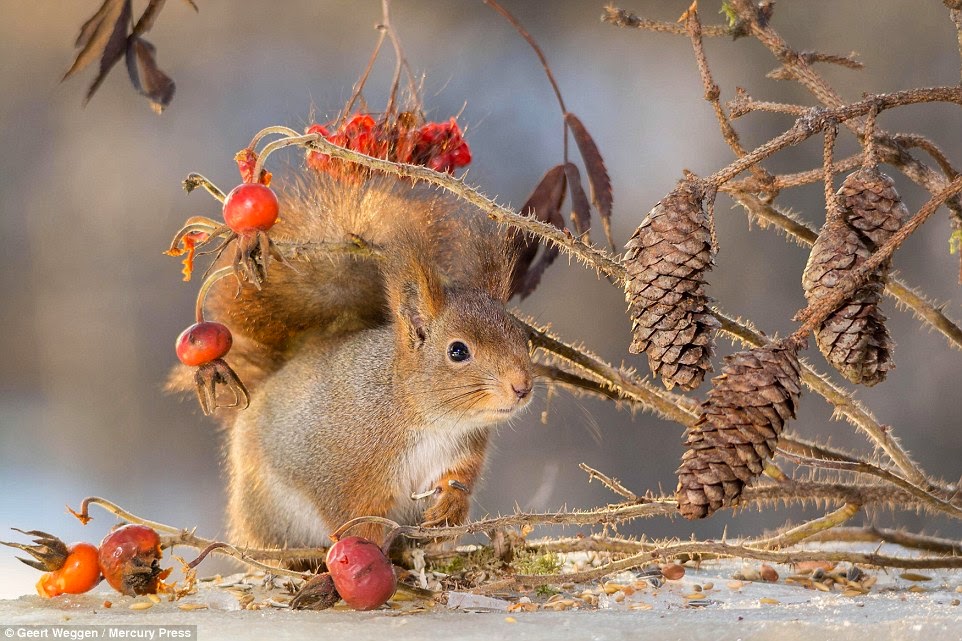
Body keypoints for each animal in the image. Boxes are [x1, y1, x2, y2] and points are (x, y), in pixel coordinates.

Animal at [171, 171, 535, 553]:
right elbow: (356, 519)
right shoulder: (348, 475)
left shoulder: (463, 452)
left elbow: (458, 481)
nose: (522, 387)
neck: (426, 418)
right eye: (458, 351)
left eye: (525, 337)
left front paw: (450, 507)